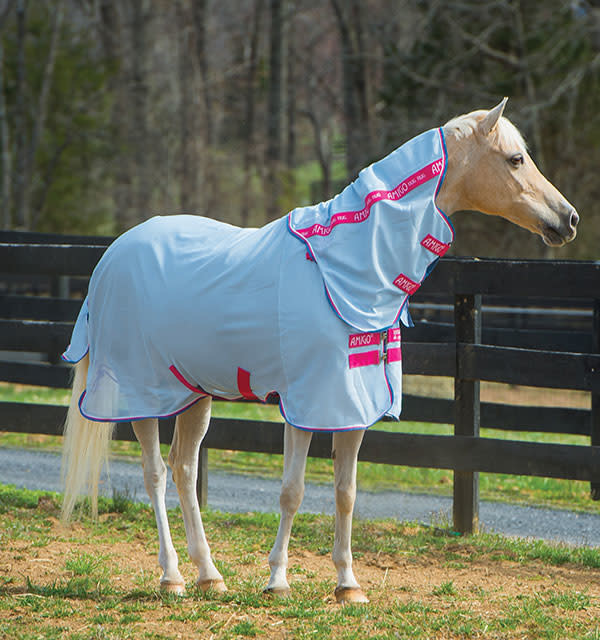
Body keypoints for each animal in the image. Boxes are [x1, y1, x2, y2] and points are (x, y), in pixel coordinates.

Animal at [60, 98, 578, 604]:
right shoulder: (306, 404)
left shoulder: (351, 407)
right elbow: (293, 490)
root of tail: (113, 255)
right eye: (516, 159)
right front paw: (277, 580)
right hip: (139, 394)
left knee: (185, 470)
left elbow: (346, 492)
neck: (344, 269)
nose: (568, 218)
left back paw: (210, 576)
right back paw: (172, 577)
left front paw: (348, 585)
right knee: (154, 474)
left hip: (194, 393)